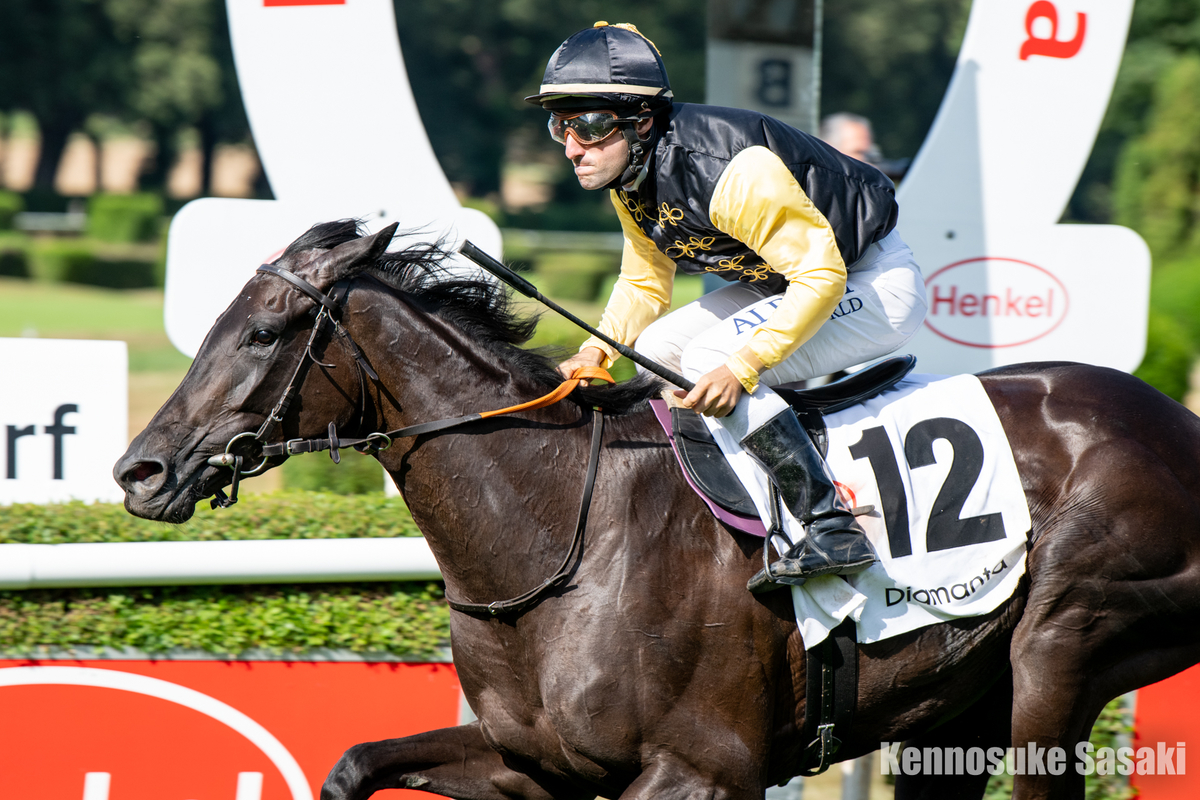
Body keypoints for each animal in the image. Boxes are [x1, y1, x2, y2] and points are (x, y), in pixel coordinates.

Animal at [115, 220, 1200, 800]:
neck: (560, 536)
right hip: (960, 706)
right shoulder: (535, 763)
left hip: (1064, 644)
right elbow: (353, 762)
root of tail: (1179, 422)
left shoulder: (705, 769)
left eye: (263, 332)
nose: (139, 469)